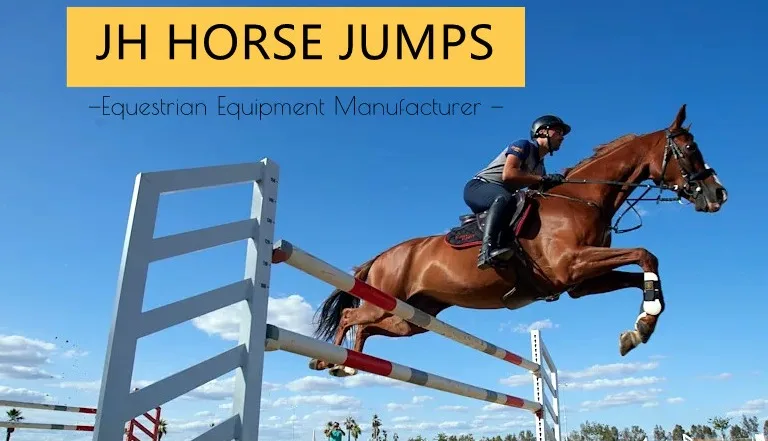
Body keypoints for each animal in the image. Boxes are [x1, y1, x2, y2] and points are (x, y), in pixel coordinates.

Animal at [307, 104, 728, 377]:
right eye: (690, 149)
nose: (719, 194)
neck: (584, 197)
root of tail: (380, 256)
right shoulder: (572, 264)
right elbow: (646, 254)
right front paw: (645, 322)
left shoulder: (580, 281)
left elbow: (643, 270)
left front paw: (639, 329)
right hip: (386, 300)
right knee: (351, 316)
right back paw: (330, 360)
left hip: (412, 318)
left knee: (367, 328)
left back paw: (344, 363)